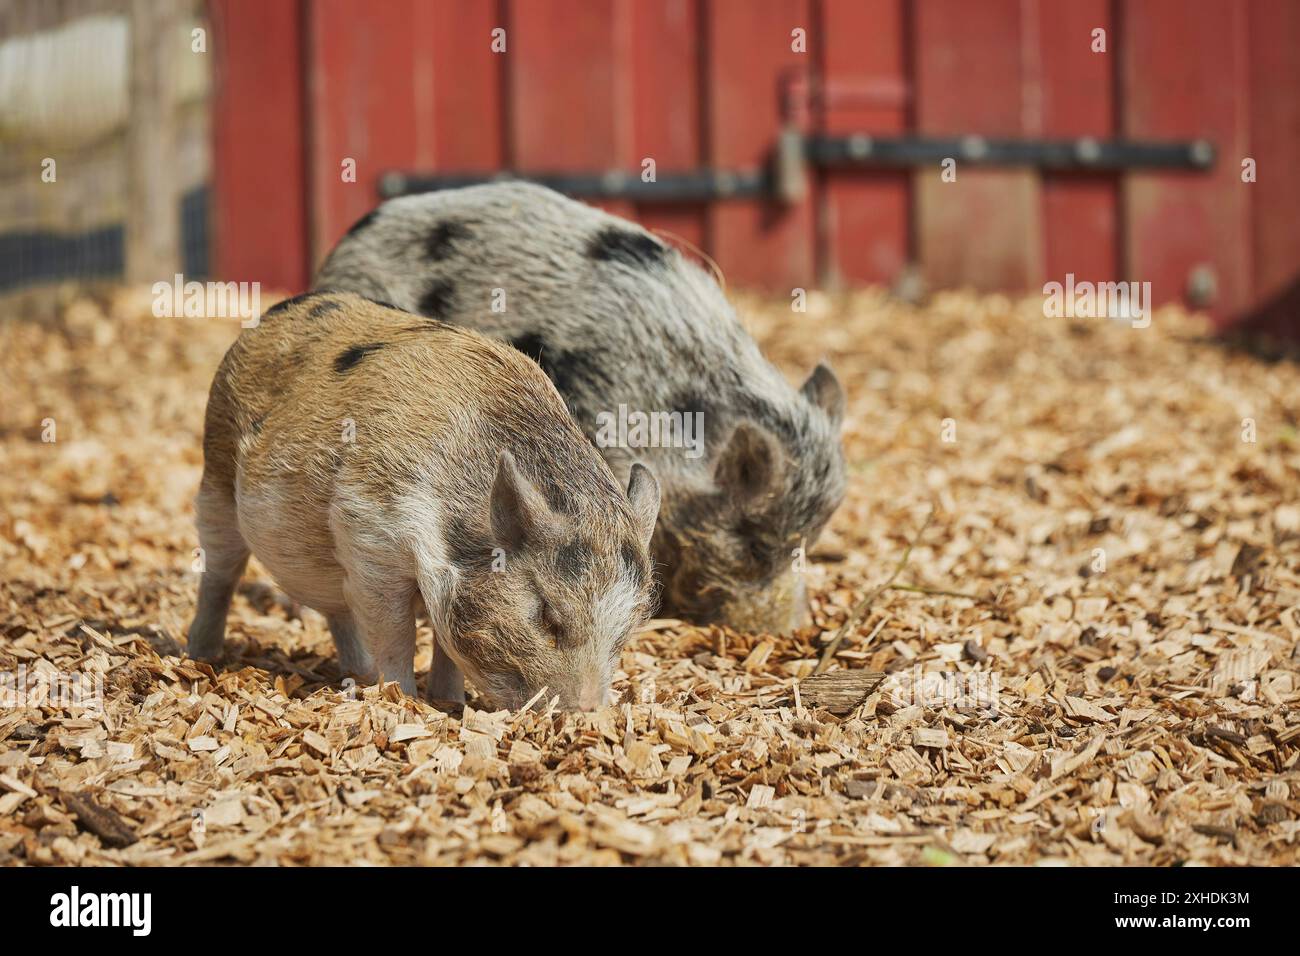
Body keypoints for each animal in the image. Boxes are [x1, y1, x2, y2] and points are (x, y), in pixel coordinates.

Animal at [186, 292, 660, 711]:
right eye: (547, 616)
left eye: (625, 632)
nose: (589, 715)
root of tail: (276, 312)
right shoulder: (369, 535)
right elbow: (397, 635)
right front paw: (406, 701)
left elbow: (445, 647)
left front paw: (450, 703)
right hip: (215, 471)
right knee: (220, 573)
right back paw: (200, 656)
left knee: (338, 610)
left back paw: (355, 675)